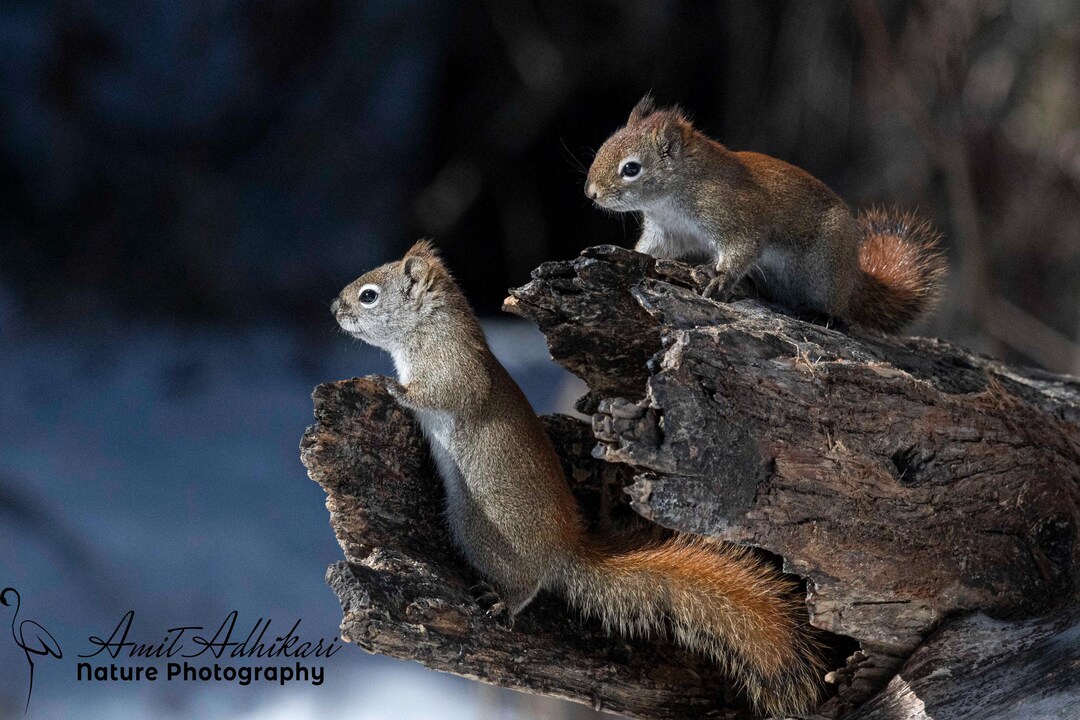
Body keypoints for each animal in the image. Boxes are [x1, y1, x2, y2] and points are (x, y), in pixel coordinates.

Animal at [332, 240, 824, 717]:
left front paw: (394, 389)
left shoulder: (454, 370)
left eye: (369, 295)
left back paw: (500, 601)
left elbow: (440, 394)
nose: (335, 308)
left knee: (526, 585)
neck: (428, 330)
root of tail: (562, 549)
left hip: (479, 530)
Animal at [585, 95, 946, 332]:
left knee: (838, 307)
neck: (673, 195)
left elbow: (743, 248)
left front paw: (720, 280)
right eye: (604, 145)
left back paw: (822, 315)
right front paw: (626, 255)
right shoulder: (669, 232)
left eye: (631, 168)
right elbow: (652, 250)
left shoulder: (734, 215)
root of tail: (854, 275)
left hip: (825, 271)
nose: (590, 193)